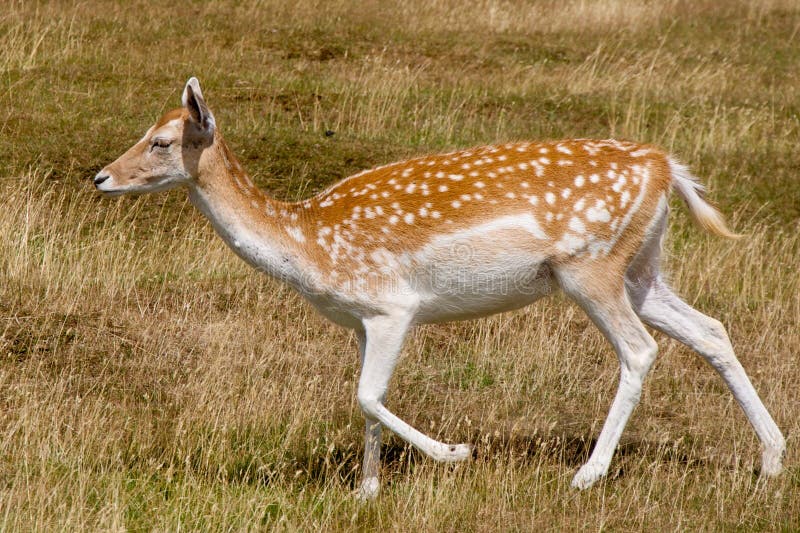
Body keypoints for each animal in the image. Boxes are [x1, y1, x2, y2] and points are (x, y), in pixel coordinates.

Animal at [94, 77, 785, 498]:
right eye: (145, 131)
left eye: (161, 141)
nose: (100, 176)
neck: (308, 244)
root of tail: (669, 169)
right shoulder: (362, 321)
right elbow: (363, 399)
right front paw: (367, 490)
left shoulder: (393, 306)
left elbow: (367, 395)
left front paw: (456, 453)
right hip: (640, 266)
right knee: (711, 330)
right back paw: (773, 459)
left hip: (591, 265)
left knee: (640, 350)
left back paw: (587, 475)